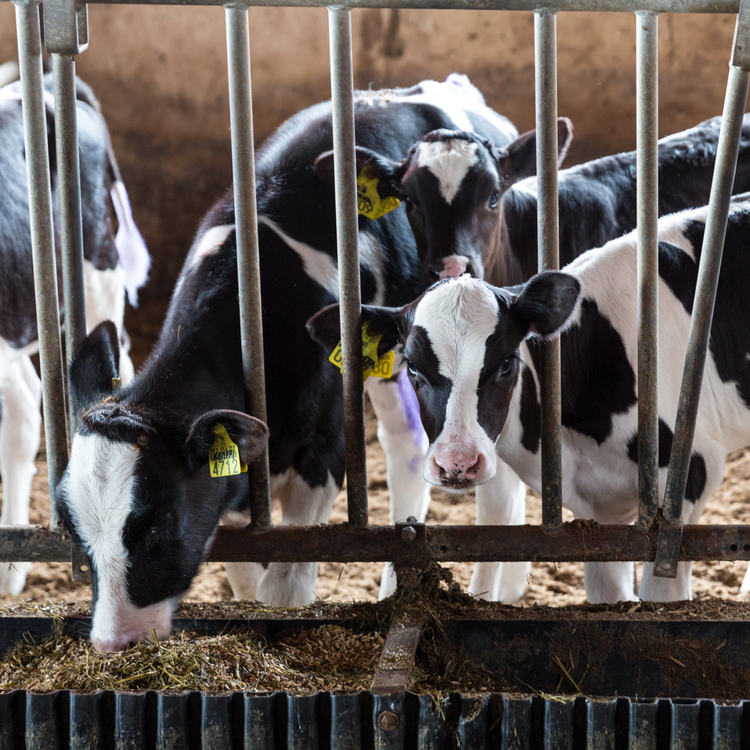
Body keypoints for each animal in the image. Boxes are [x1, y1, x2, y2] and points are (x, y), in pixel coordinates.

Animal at [54, 76, 540, 651]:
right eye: (73, 530)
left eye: (157, 523)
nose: (112, 641)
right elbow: (245, 579)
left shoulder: (323, 451)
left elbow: (282, 591)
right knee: (407, 441)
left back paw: (495, 587)